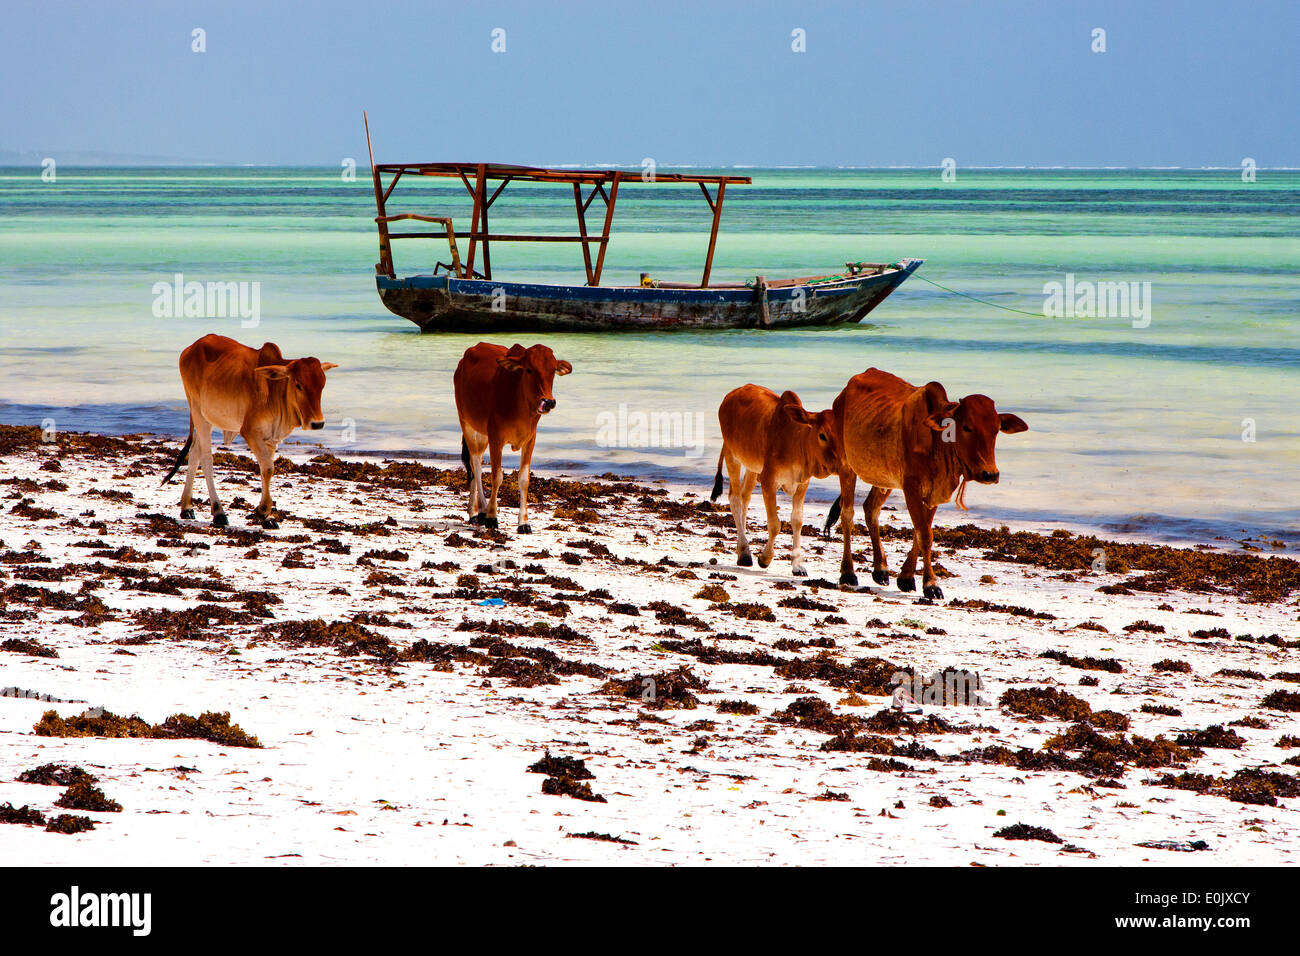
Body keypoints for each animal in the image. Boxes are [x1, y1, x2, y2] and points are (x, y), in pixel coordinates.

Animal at [161, 333, 337, 529]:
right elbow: (268, 467)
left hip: (207, 418)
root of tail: (190, 348)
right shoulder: (250, 431)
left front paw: (267, 517)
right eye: (299, 385)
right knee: (206, 458)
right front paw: (263, 511)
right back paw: (218, 511)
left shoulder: (271, 438)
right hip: (199, 413)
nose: (317, 423)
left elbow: (266, 470)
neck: (274, 388)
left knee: (194, 454)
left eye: (322, 385)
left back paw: (186, 507)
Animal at [453, 342, 572, 533]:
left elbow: (524, 479)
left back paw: (475, 512)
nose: (548, 402)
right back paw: (480, 511)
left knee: (474, 463)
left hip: (482, 434)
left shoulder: (530, 440)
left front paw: (523, 522)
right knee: (475, 465)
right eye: (529, 369)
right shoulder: (496, 438)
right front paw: (492, 517)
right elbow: (497, 477)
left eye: (553, 370)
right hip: (466, 423)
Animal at [710, 384, 841, 576]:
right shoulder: (768, 480)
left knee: (744, 497)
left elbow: (797, 521)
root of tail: (731, 394)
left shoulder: (802, 484)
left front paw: (797, 565)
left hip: (752, 467)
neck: (796, 441)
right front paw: (765, 559)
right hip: (732, 455)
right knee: (735, 499)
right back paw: (744, 553)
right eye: (822, 435)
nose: (840, 464)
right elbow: (774, 524)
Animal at [825, 368, 1027, 598]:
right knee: (847, 514)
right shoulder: (911, 487)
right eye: (966, 427)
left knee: (871, 509)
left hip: (885, 478)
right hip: (846, 466)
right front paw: (931, 584)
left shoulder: (935, 491)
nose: (990, 474)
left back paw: (881, 569)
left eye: (996, 429)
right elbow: (924, 534)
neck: (938, 442)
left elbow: (921, 531)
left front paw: (906, 578)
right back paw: (848, 573)